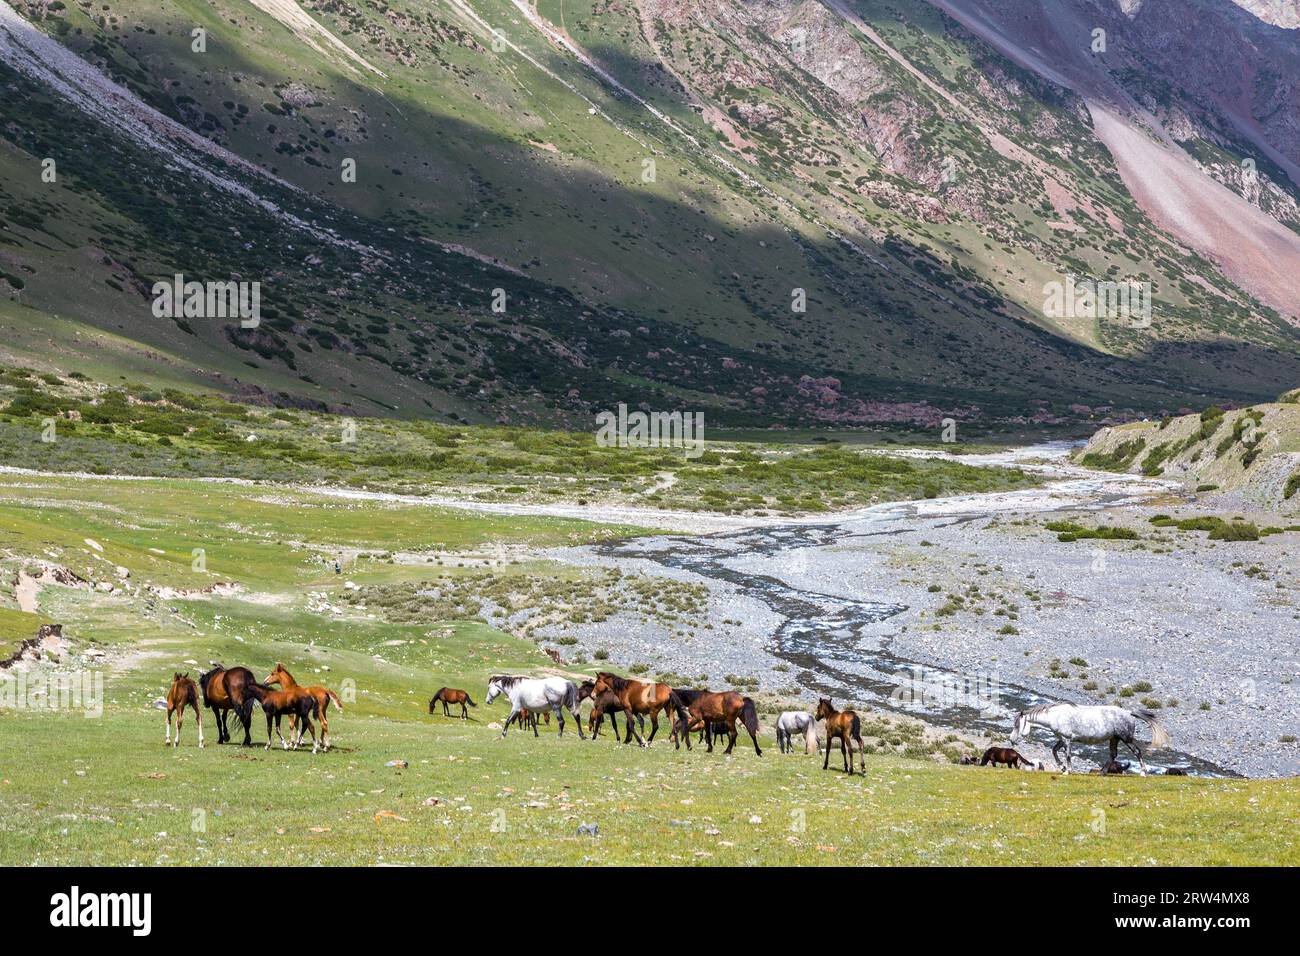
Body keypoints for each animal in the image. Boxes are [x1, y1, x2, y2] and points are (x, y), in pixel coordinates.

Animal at [1012, 703, 1169, 776]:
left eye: (1017, 725)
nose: (1012, 740)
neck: (1055, 715)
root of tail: (1129, 713)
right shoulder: (1062, 739)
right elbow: (1054, 751)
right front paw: (1062, 768)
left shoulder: (1067, 739)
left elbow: (1067, 755)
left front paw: (1068, 770)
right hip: (1114, 739)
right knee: (1113, 754)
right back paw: (1102, 772)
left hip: (1126, 739)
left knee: (1137, 752)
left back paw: (1143, 773)